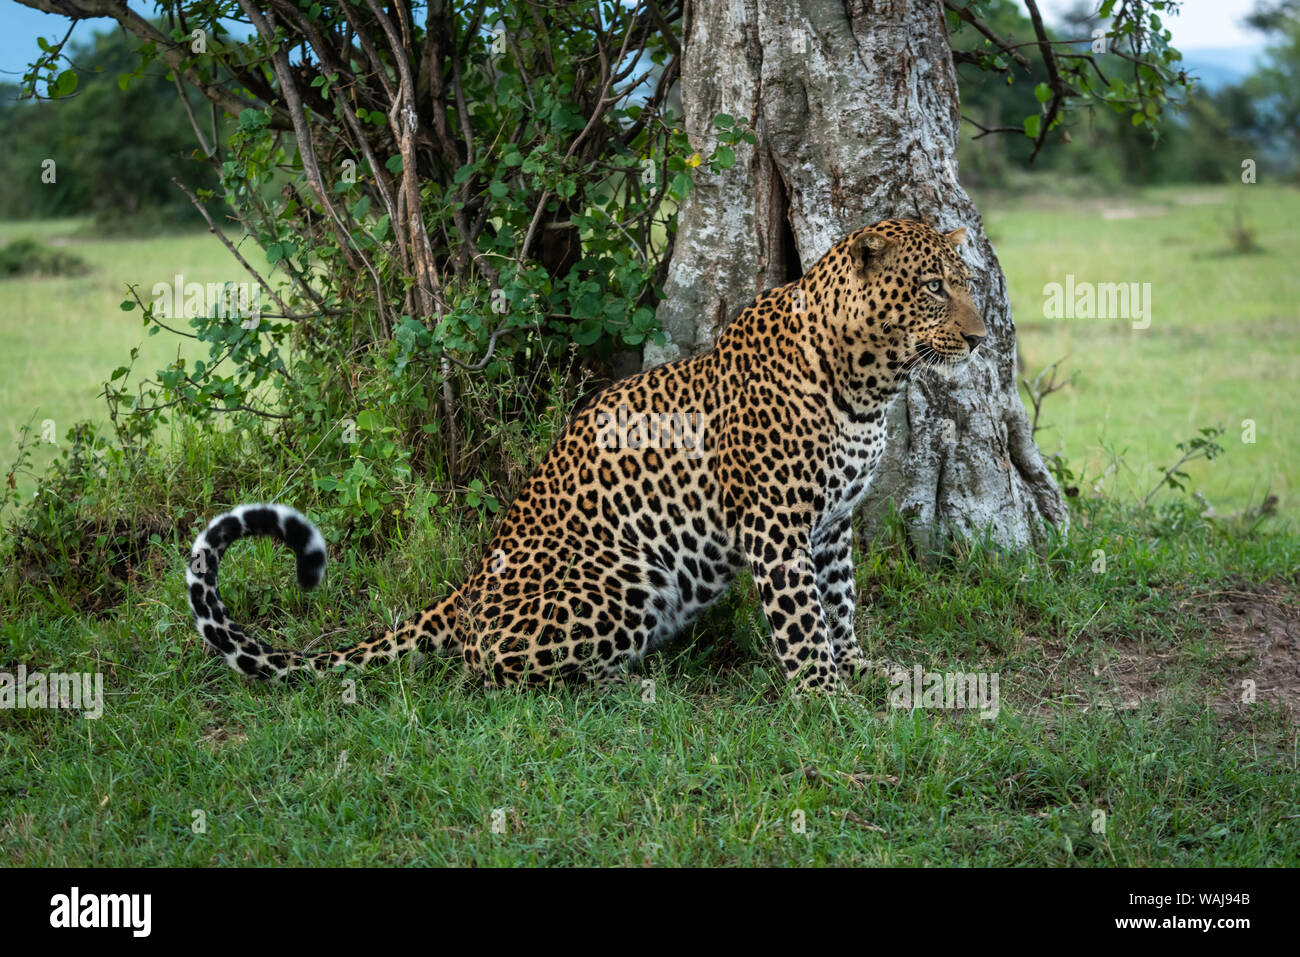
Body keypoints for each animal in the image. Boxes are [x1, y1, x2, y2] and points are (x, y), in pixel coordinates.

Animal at [186, 218, 987, 693]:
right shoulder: (775, 529)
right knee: (495, 671)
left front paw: (859, 669)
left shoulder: (830, 526)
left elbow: (841, 603)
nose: (982, 339)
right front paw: (826, 697)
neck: (867, 384)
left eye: (968, 285)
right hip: (627, 575)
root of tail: (464, 589)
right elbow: (802, 620)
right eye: (933, 287)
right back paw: (631, 686)